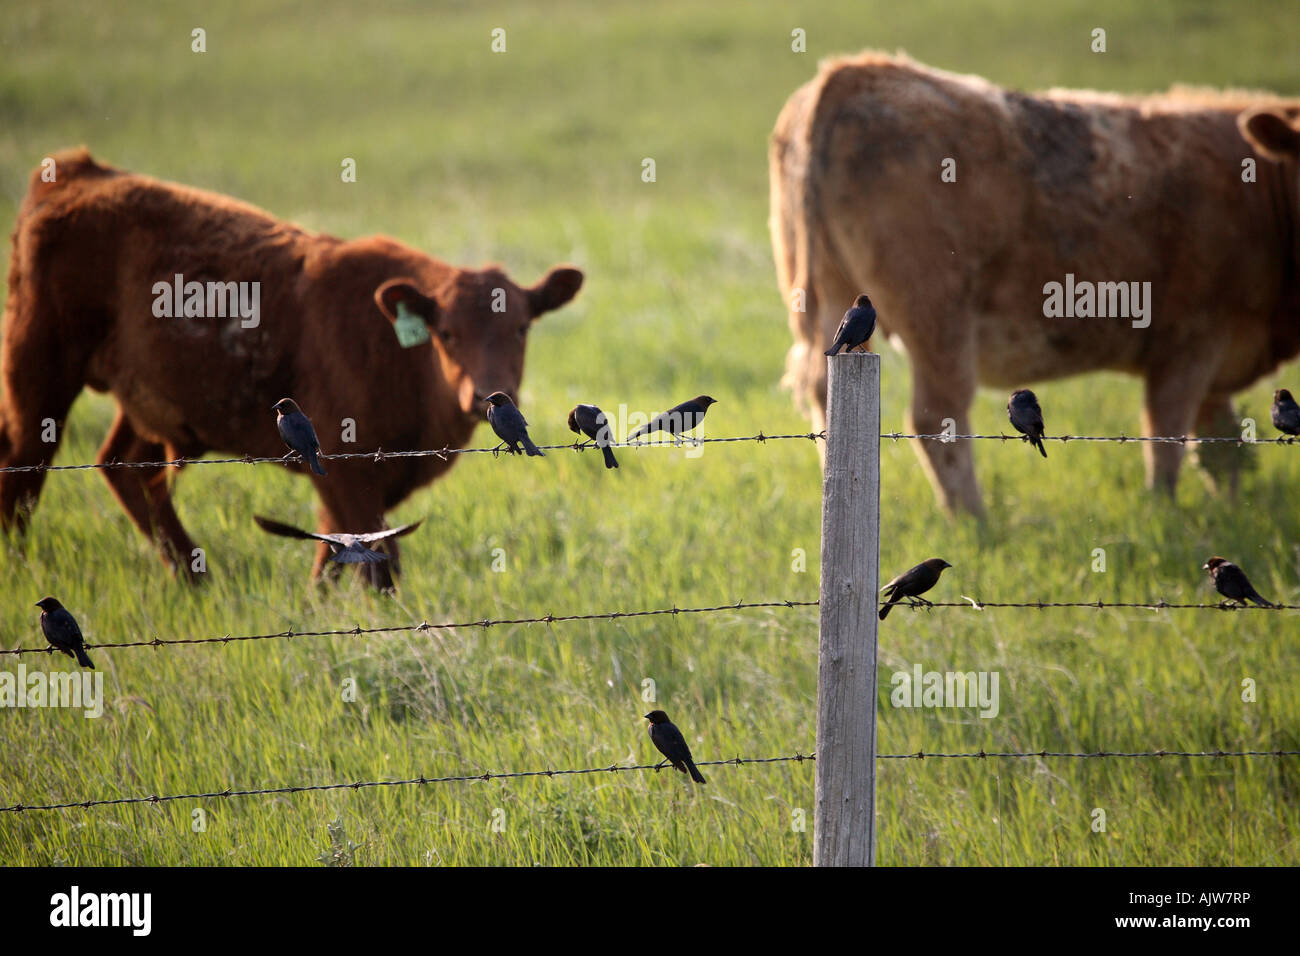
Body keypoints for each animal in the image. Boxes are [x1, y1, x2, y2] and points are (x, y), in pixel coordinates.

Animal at [1, 149, 584, 587]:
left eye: (521, 327)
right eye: (447, 334)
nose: (484, 393)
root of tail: (78, 170)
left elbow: (332, 559)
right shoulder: (348, 474)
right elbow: (375, 566)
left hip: (149, 406)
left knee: (127, 468)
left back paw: (197, 579)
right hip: (39, 374)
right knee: (23, 471)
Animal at [770, 52, 1300, 516]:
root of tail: (847, 75)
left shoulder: (1214, 363)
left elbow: (1221, 450)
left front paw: (1227, 510)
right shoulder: (1190, 342)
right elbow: (1168, 441)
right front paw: (1165, 514)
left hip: (832, 295)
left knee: (823, 391)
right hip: (938, 322)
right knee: (935, 418)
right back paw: (978, 524)